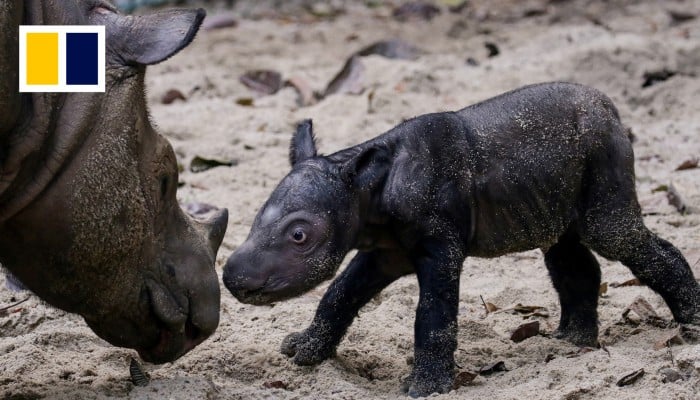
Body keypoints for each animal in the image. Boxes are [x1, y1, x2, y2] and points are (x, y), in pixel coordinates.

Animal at [223, 82, 700, 396]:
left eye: (299, 235)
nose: (233, 279)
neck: (366, 189)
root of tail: (611, 108)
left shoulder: (439, 244)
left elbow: (433, 313)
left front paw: (425, 387)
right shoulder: (385, 249)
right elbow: (340, 293)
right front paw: (304, 352)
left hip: (603, 151)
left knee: (612, 233)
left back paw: (691, 324)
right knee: (564, 249)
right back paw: (571, 342)